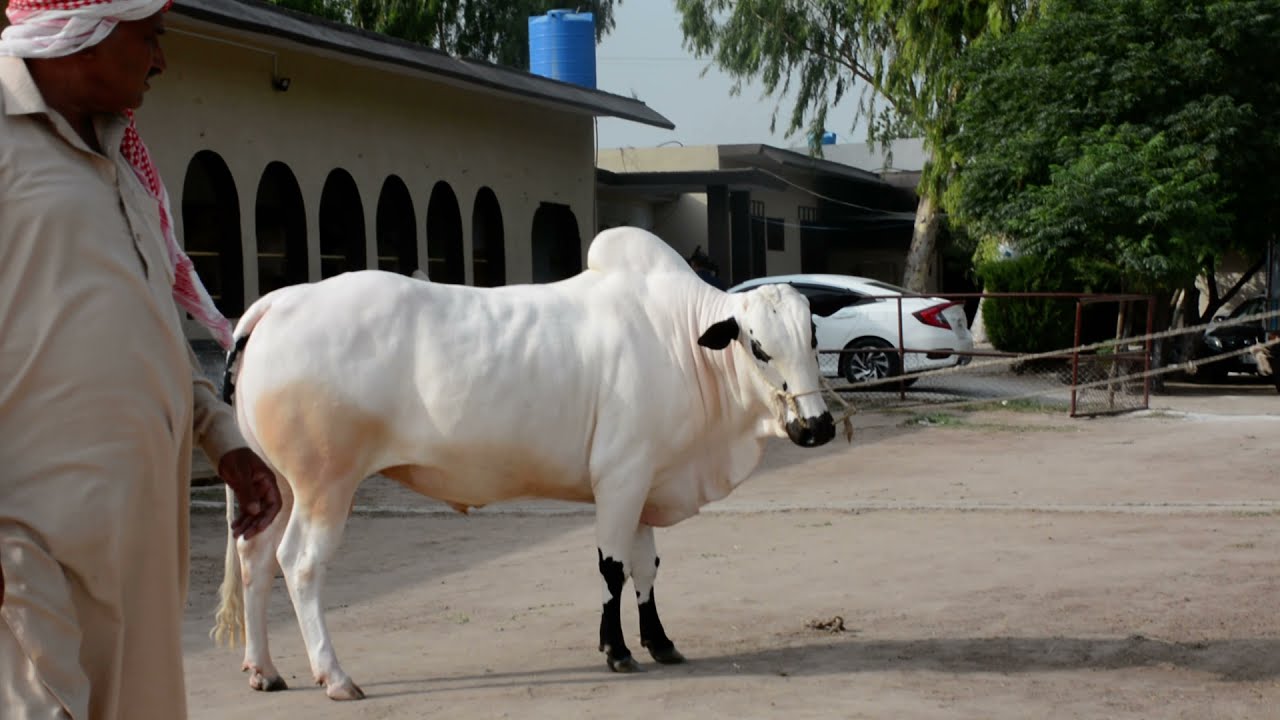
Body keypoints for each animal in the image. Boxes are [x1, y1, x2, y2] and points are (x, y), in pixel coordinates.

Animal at [209, 226, 838, 701]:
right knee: (300, 565)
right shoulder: (620, 478)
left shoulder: (645, 482)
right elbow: (613, 568)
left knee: (256, 558)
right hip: (325, 484)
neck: (679, 340)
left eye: (811, 336)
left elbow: (647, 569)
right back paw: (335, 675)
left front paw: (660, 642)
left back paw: (265, 669)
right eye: (758, 345)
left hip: (280, 484)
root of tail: (282, 300)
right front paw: (616, 650)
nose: (818, 426)